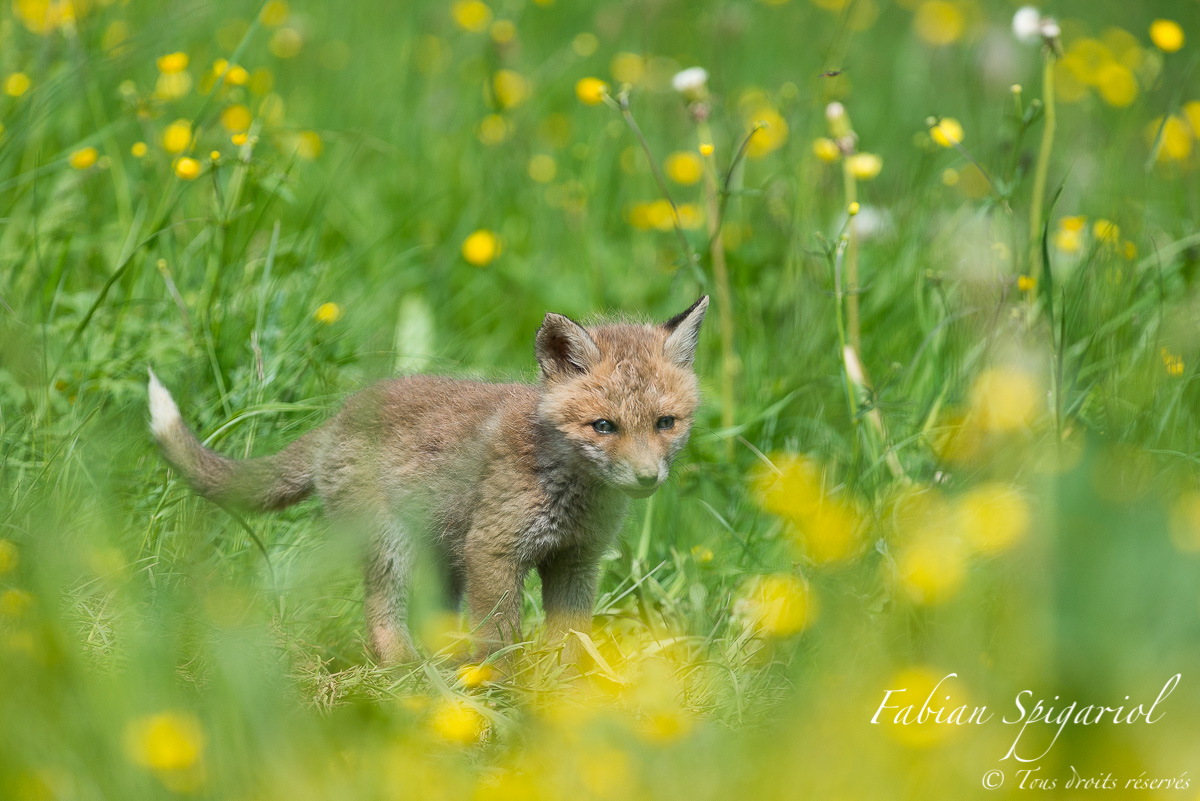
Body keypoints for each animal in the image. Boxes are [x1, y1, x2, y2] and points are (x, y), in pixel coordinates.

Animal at [148, 296, 708, 665]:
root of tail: (342, 413)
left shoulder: (575, 560)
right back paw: (406, 676)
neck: (569, 489)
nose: (647, 478)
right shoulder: (494, 551)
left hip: (446, 557)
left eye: (665, 423)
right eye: (604, 426)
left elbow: (570, 642)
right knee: (381, 615)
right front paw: (500, 696)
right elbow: (499, 642)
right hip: (392, 545)